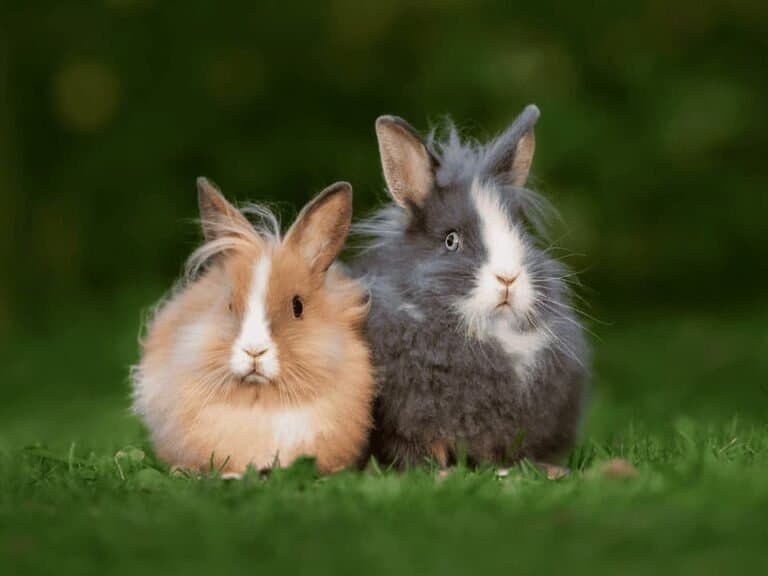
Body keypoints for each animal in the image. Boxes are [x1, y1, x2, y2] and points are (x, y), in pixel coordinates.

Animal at [352, 104, 590, 468]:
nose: (508, 277)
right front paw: (435, 471)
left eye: (519, 232)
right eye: (451, 241)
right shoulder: (412, 421)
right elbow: (421, 447)